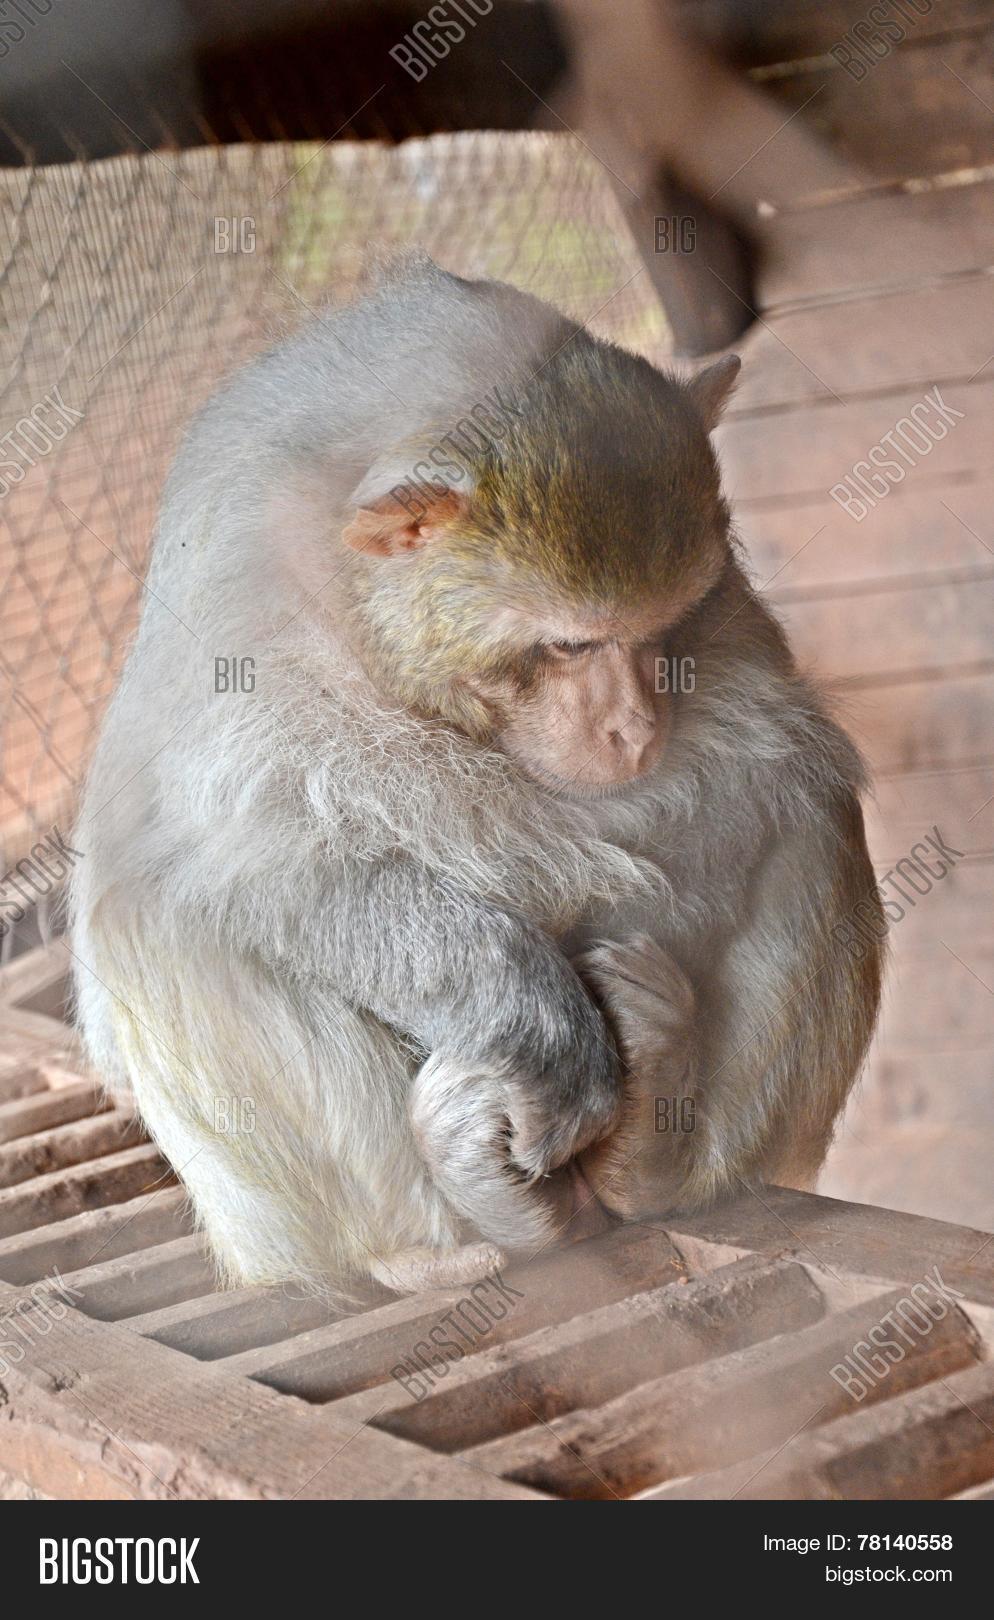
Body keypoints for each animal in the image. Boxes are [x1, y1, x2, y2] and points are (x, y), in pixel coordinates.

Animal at [69, 254, 883, 1300]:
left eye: (663, 631)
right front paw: (534, 1016)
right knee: (154, 921)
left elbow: (755, 764)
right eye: (569, 645)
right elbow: (258, 859)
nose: (633, 728)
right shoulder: (239, 605)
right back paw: (437, 1244)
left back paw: (656, 1154)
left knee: (810, 817)